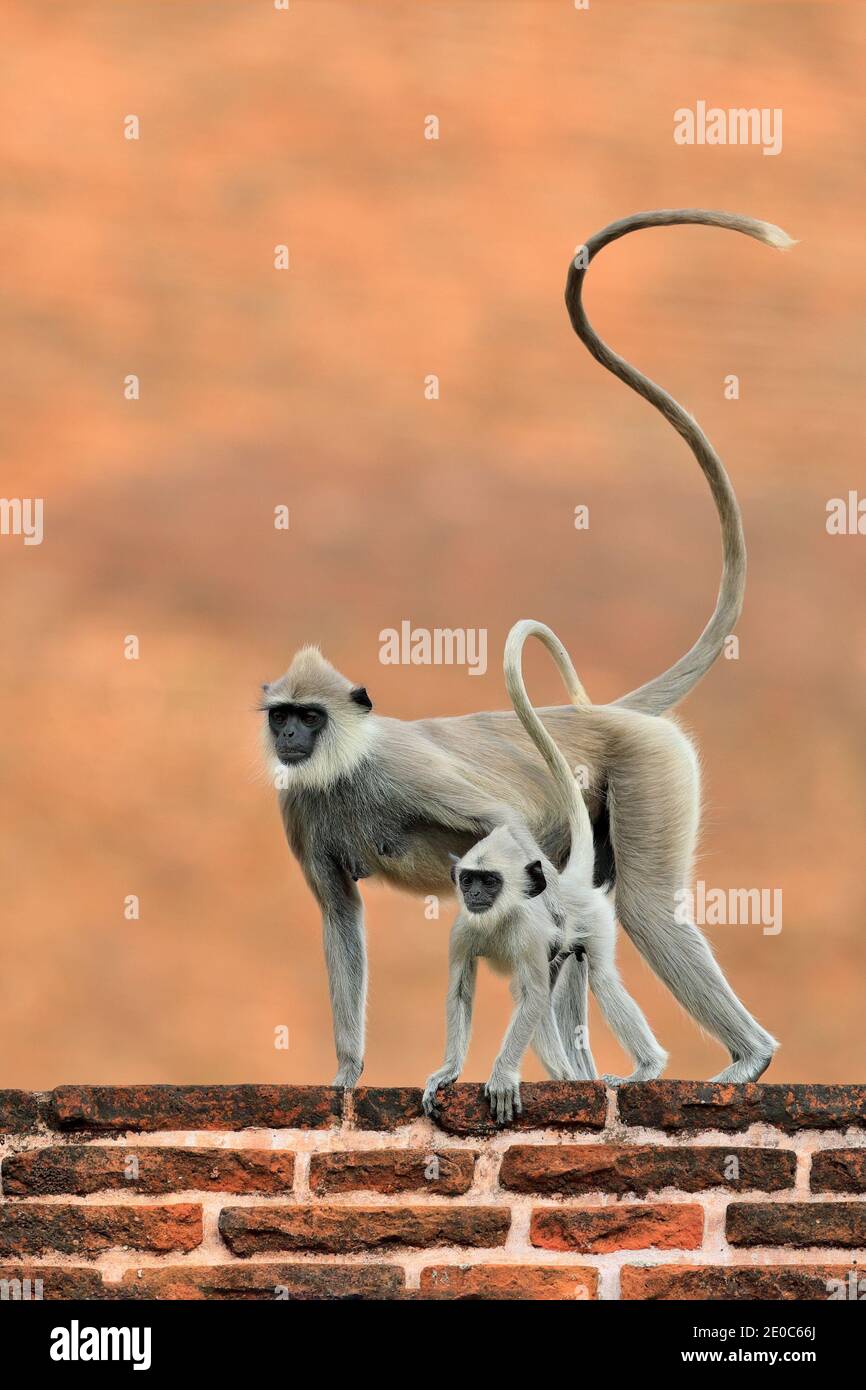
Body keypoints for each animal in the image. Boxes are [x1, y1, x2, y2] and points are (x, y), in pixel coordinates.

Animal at [422, 620, 667, 1122]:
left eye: (490, 881)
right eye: (468, 880)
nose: (475, 895)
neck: (499, 917)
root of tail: (567, 882)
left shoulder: (529, 933)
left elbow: (533, 998)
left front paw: (500, 1077)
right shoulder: (463, 931)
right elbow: (462, 991)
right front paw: (448, 1071)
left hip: (592, 922)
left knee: (597, 979)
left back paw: (646, 1069)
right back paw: (568, 1076)